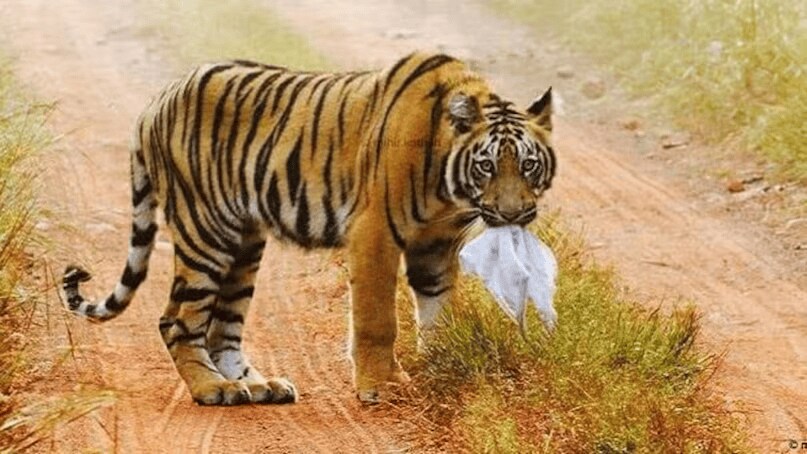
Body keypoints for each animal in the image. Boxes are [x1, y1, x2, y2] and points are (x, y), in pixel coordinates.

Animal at [62, 52, 555, 405]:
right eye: (487, 165)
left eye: (528, 165)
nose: (513, 214)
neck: (451, 185)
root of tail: (155, 102)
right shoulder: (375, 233)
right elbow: (377, 319)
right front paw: (380, 385)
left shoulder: (435, 247)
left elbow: (438, 314)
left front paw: (439, 370)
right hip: (206, 232)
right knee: (177, 320)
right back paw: (211, 389)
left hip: (244, 242)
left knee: (223, 327)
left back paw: (256, 386)